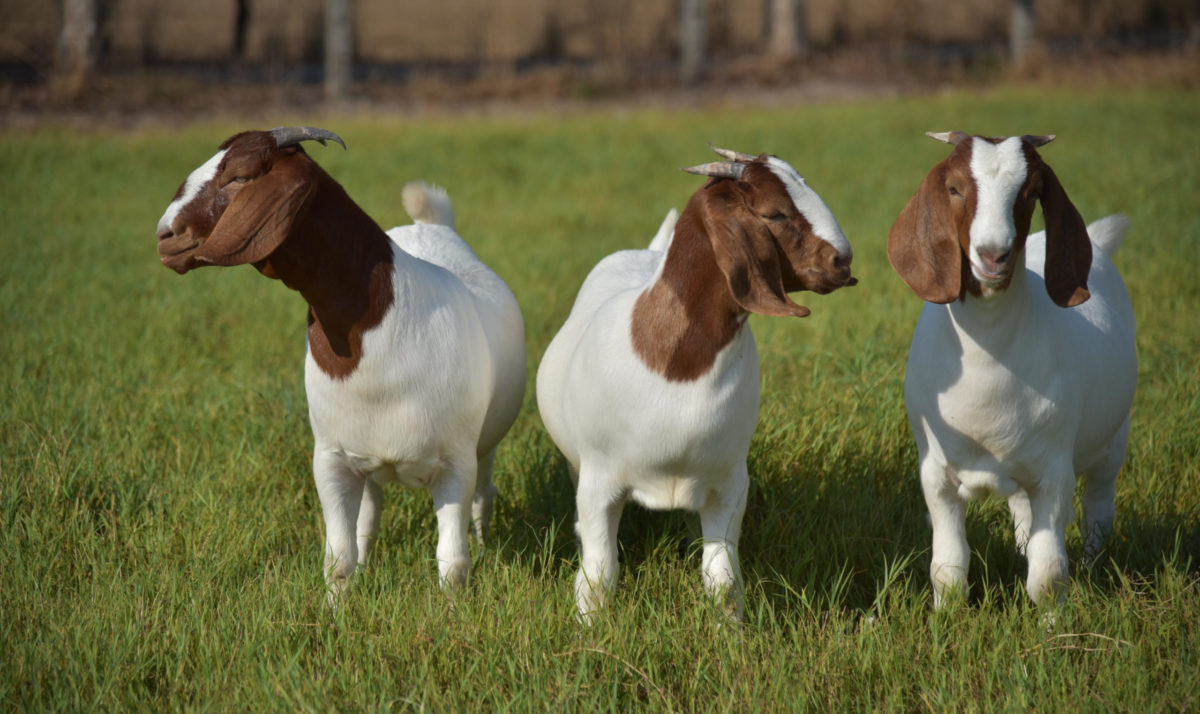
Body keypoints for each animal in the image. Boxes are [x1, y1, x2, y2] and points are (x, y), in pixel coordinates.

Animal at [156, 127, 527, 602]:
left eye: (240, 176)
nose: (166, 235)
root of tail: (432, 227)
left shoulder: (455, 463)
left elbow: (453, 561)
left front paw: (451, 611)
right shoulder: (331, 458)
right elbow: (338, 557)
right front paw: (336, 609)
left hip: (483, 446)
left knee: (484, 494)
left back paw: (483, 543)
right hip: (366, 460)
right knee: (369, 515)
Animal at [536, 145, 856, 621]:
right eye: (775, 213)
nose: (843, 260)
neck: (674, 366)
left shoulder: (730, 482)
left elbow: (722, 579)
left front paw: (731, 632)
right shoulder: (599, 480)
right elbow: (599, 575)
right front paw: (588, 629)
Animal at [888, 131, 1136, 607]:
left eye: (1031, 191)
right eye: (954, 188)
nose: (993, 255)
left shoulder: (1054, 472)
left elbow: (1049, 572)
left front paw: (1053, 622)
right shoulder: (935, 474)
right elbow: (947, 567)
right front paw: (946, 616)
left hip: (1112, 440)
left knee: (1099, 506)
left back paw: (1095, 564)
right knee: (1023, 508)